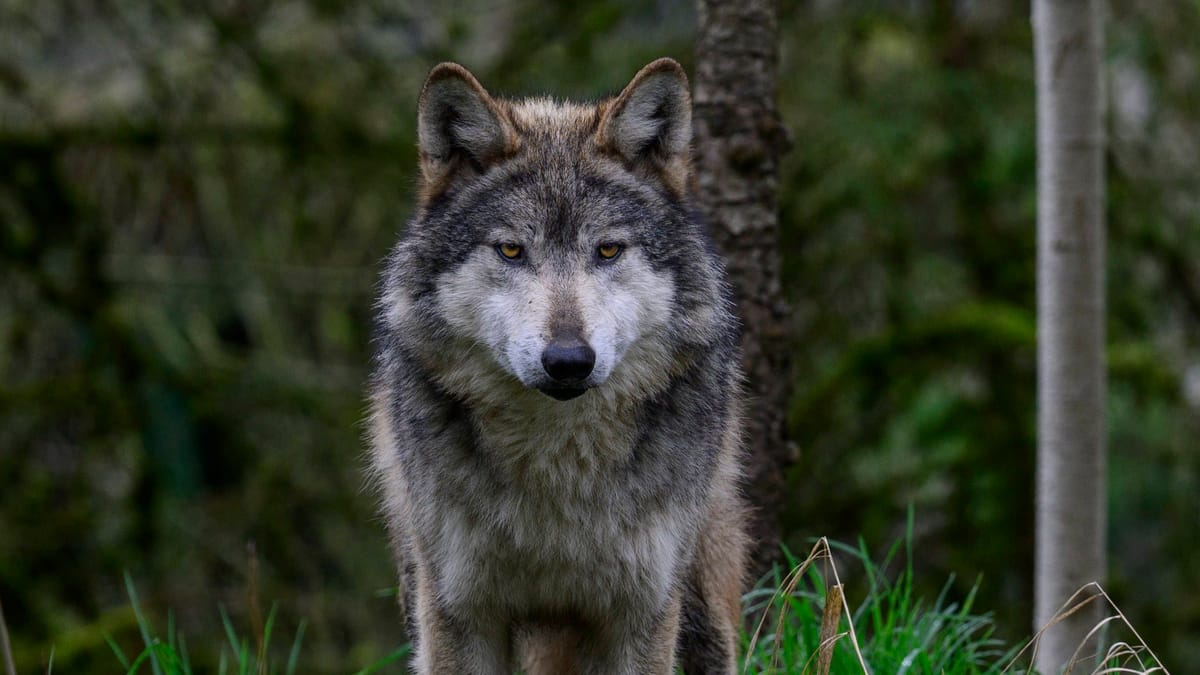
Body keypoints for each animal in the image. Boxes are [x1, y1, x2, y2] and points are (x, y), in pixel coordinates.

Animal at [367, 57, 748, 674]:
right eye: (512, 250)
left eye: (609, 250)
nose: (569, 361)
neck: (558, 468)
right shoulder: (457, 611)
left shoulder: (640, 614)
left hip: (700, 610)